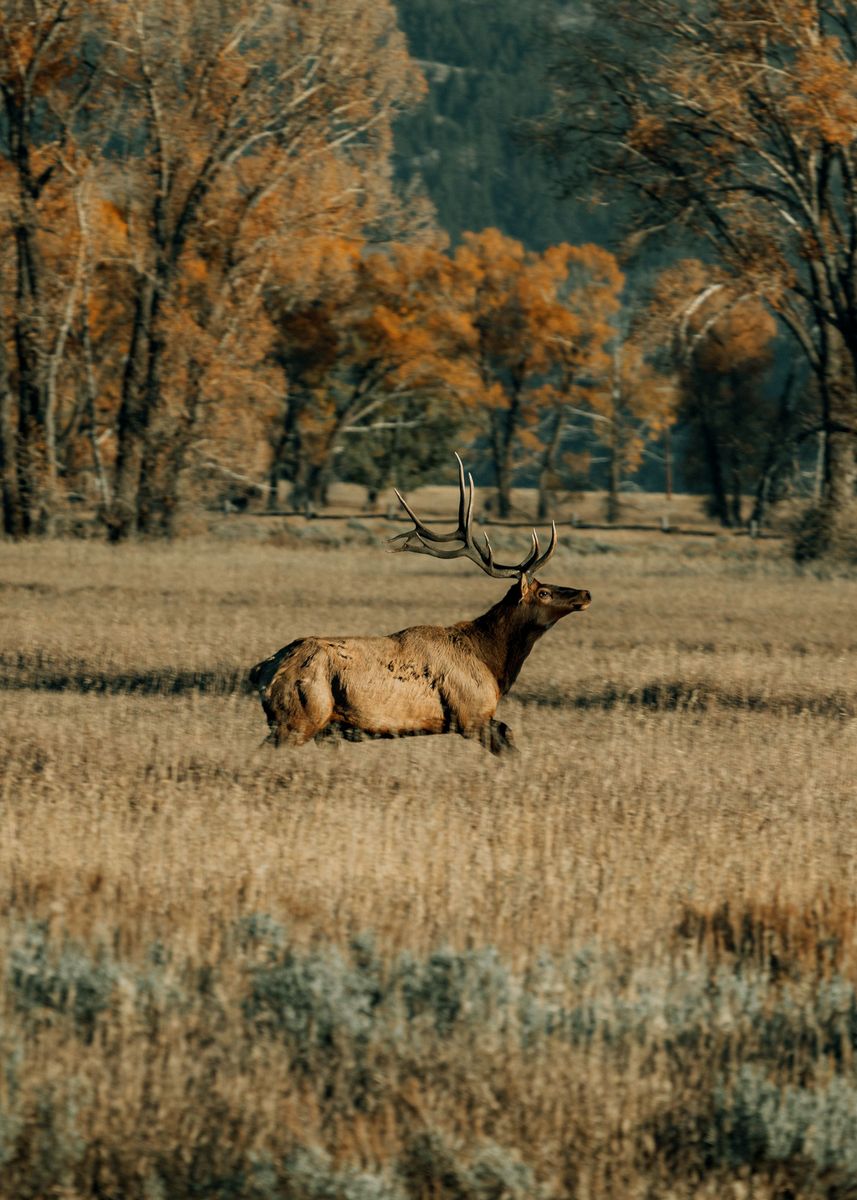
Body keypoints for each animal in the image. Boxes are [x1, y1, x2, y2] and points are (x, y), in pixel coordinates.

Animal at [249, 455, 591, 755]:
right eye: (543, 592)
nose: (585, 593)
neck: (492, 662)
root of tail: (263, 670)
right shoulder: (471, 714)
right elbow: (509, 745)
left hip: (323, 727)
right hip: (300, 715)